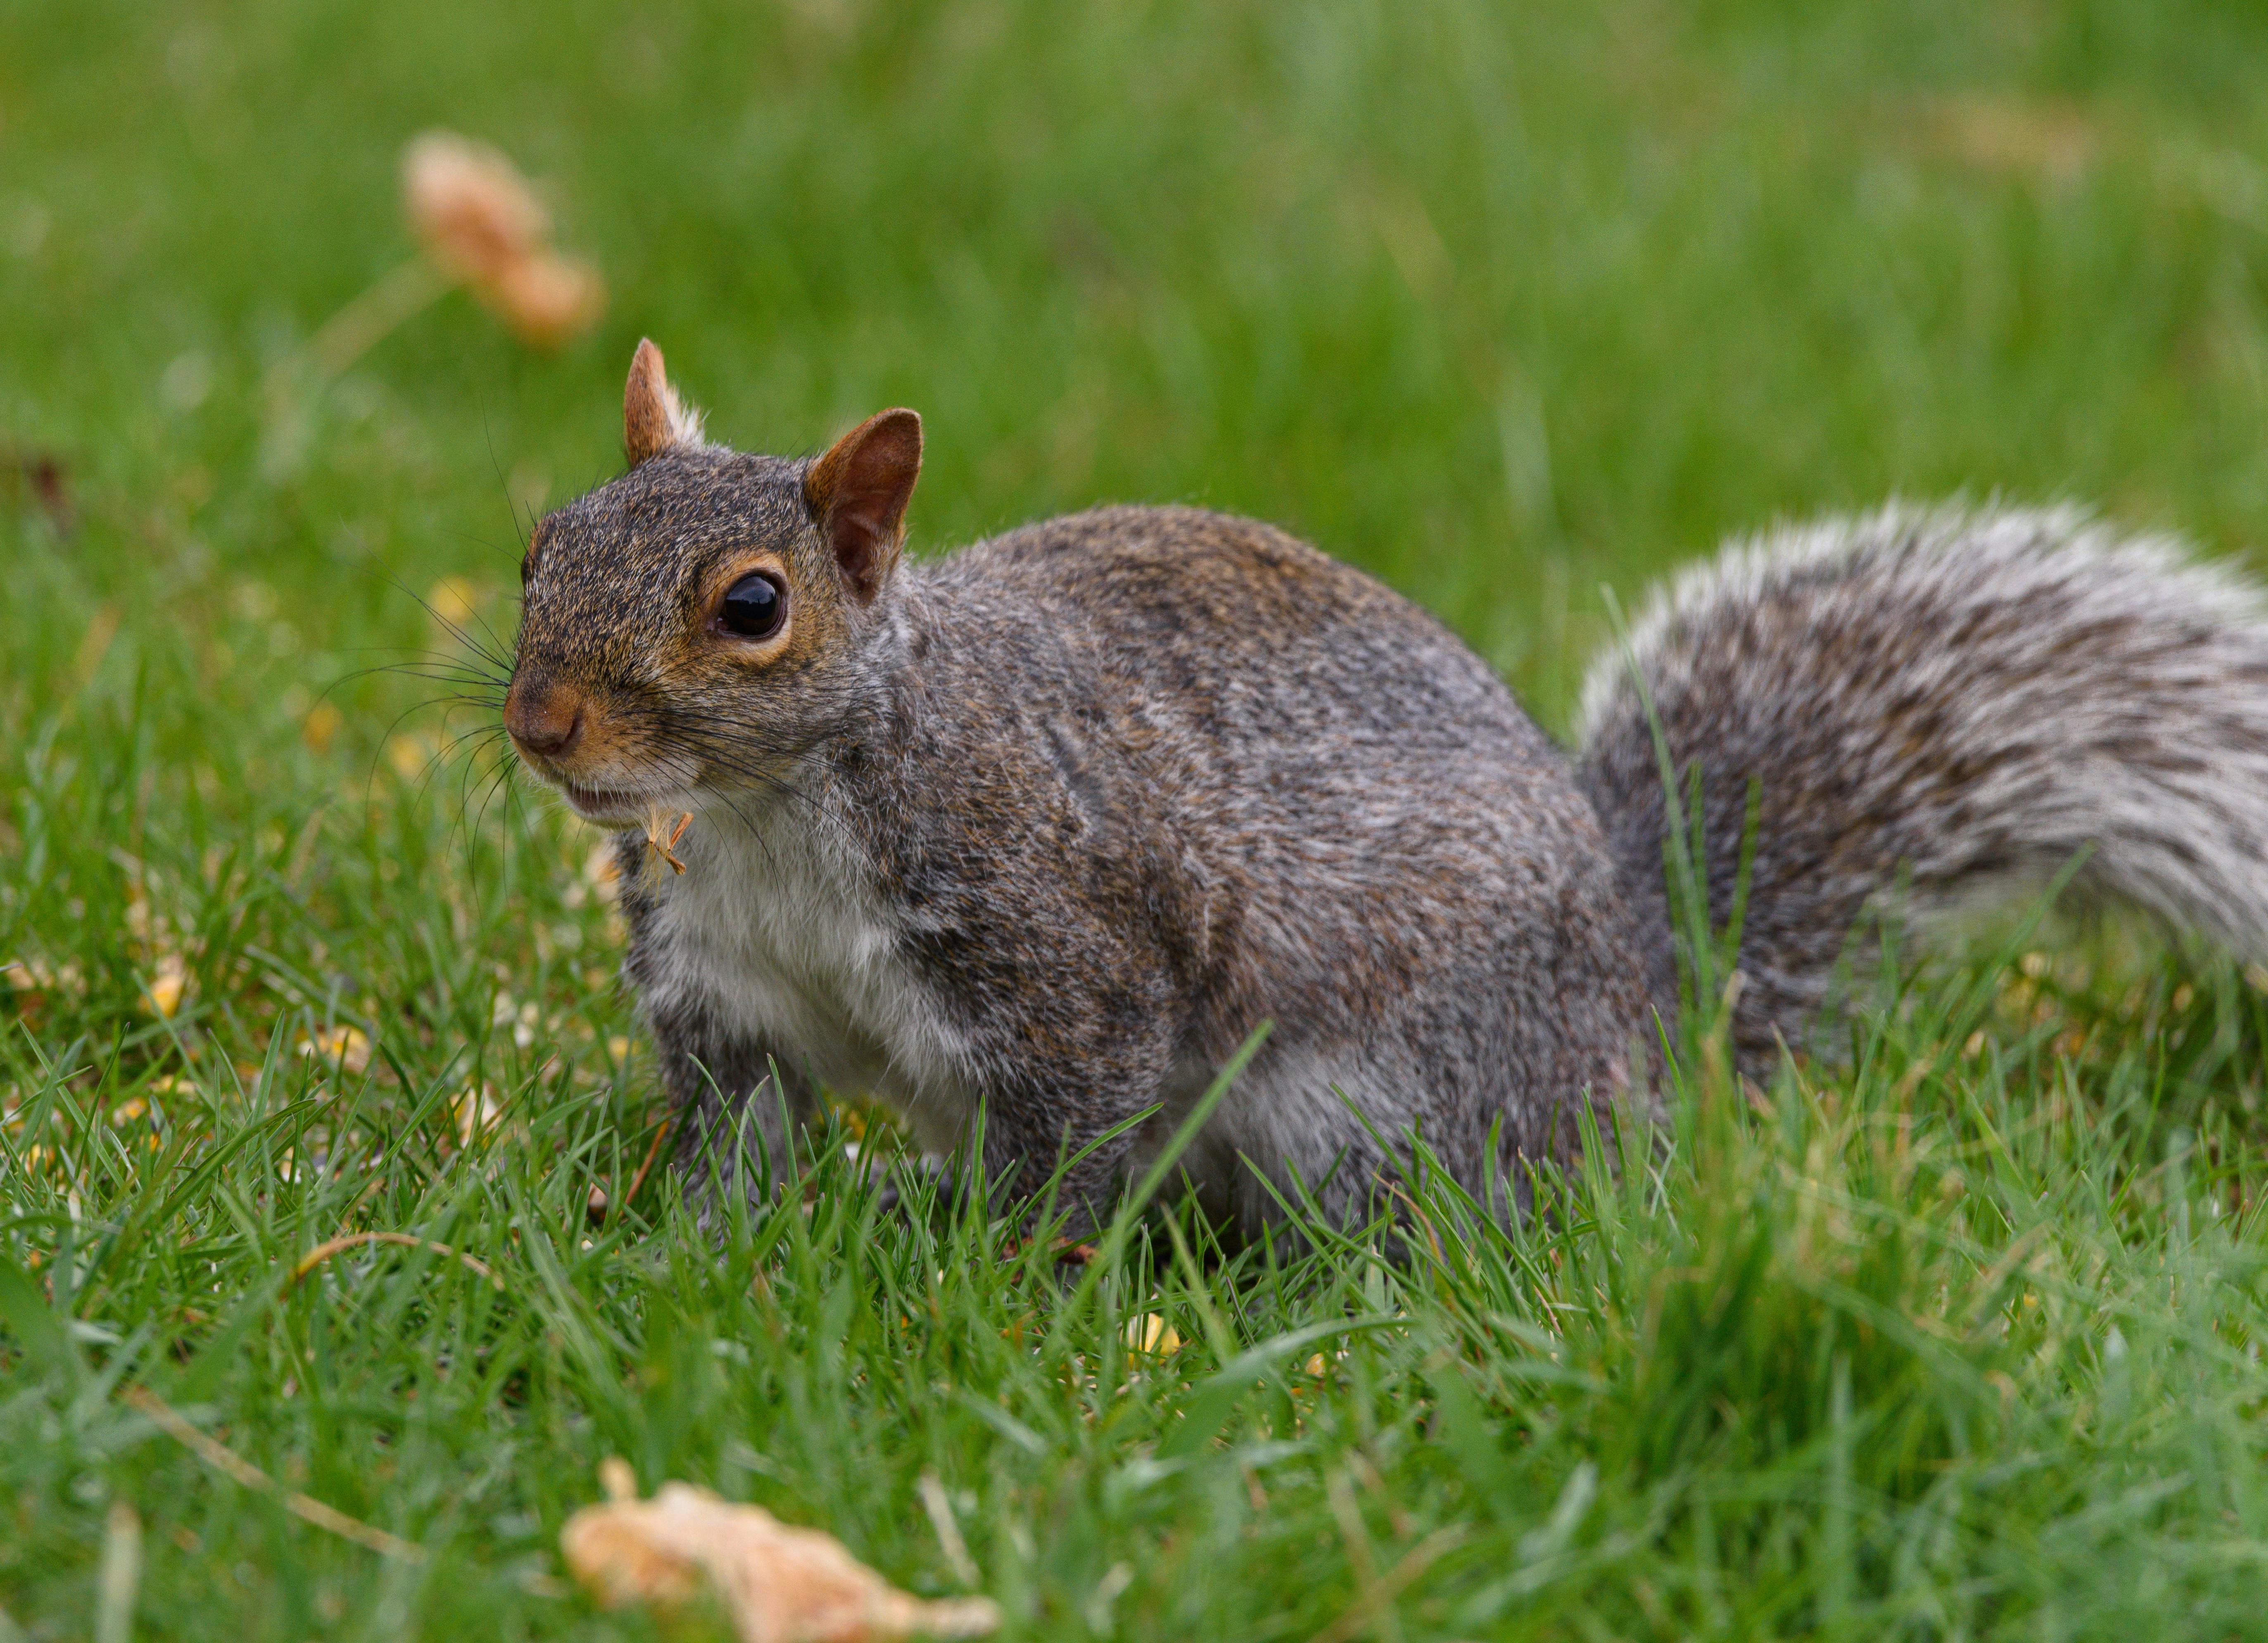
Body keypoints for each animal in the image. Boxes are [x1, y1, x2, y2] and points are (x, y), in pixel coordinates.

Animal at [502, 339, 2268, 1236]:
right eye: (540, 547)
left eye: (753, 605)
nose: (540, 724)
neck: (768, 814)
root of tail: (1637, 1019)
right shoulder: (722, 985)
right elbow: (737, 1151)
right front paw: (697, 1265)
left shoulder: (1061, 950)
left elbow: (1067, 1146)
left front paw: (996, 1293)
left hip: (1379, 1098)